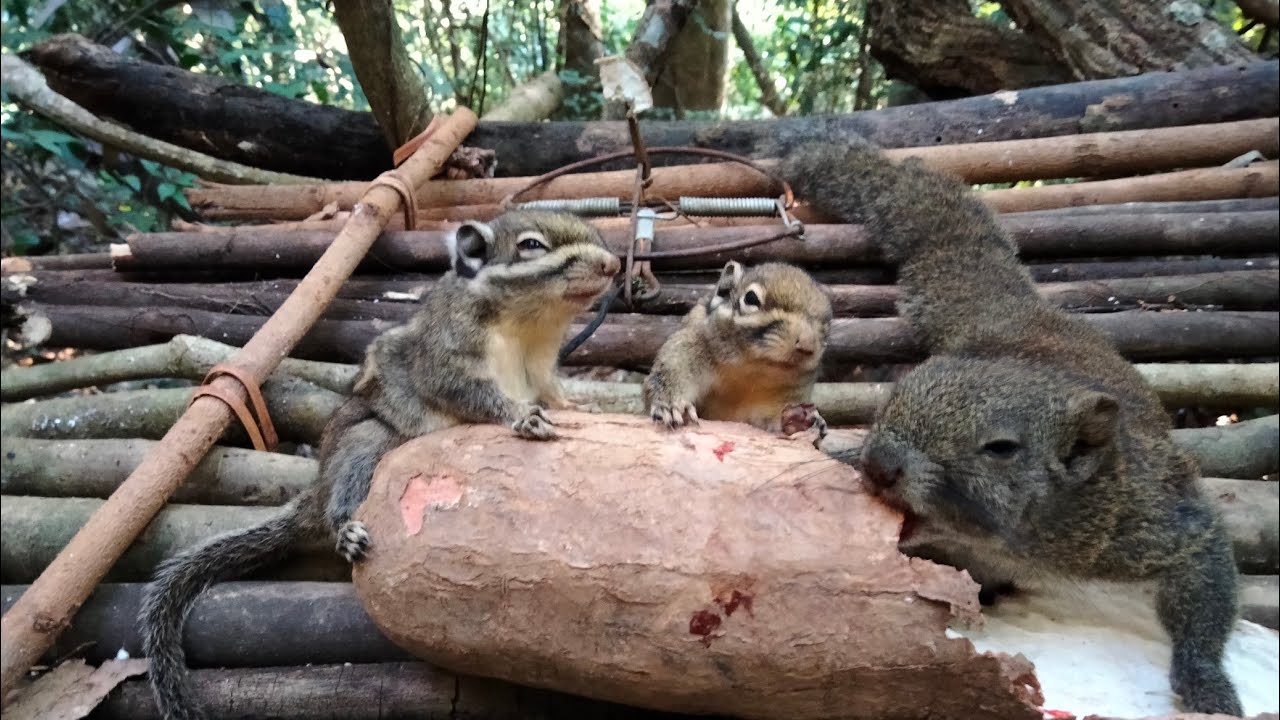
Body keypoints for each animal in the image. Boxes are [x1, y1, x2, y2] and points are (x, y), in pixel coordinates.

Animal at [139, 211, 621, 720]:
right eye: (531, 245)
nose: (613, 265)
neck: (528, 327)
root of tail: (316, 490)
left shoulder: (542, 368)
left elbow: (553, 394)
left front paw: (580, 407)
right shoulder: (446, 360)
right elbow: (471, 394)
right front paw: (521, 416)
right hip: (368, 444)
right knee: (343, 498)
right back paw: (346, 529)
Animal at [642, 260, 832, 438]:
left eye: (827, 326)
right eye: (751, 298)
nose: (807, 344)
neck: (750, 366)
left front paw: (796, 420)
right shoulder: (684, 350)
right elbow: (668, 377)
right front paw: (672, 406)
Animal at [781, 141, 1243, 715]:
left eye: (1001, 449)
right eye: (892, 400)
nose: (878, 465)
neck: (1004, 543)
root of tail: (1022, 315)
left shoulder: (1141, 518)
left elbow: (1204, 555)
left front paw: (1206, 678)